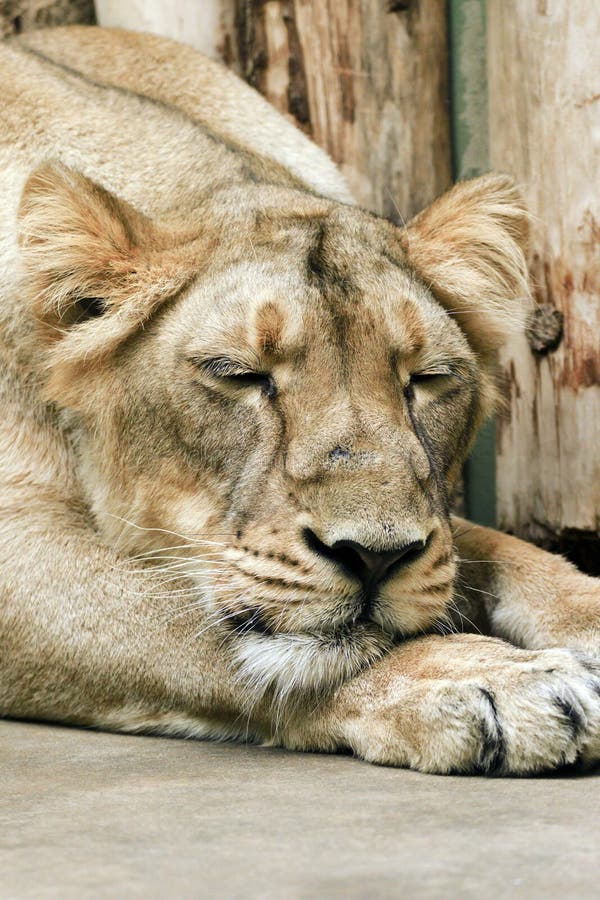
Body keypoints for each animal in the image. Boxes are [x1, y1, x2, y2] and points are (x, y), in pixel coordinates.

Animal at [1, 25, 599, 775]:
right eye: (237, 374)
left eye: (428, 379)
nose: (376, 557)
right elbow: (194, 624)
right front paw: (487, 678)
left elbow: (502, 549)